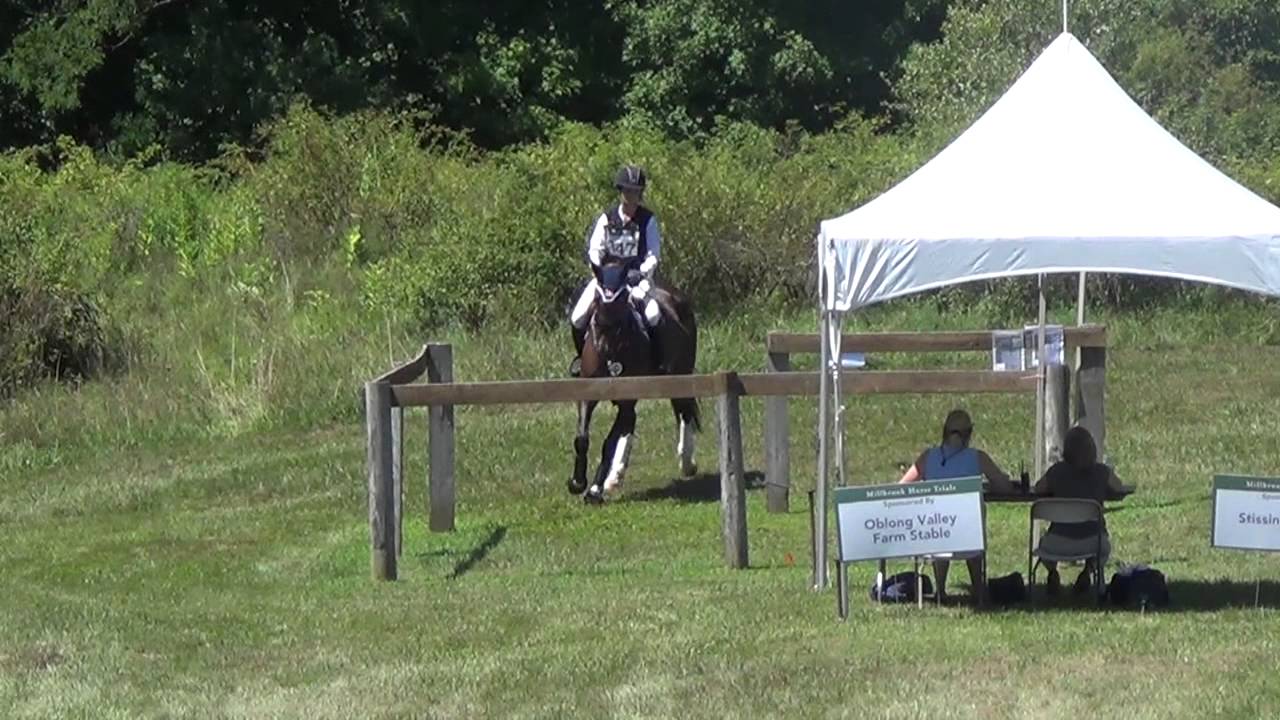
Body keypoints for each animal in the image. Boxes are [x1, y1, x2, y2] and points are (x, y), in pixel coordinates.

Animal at [568, 260, 700, 503]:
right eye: (598, 297)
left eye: (621, 298)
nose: (605, 347)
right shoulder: (588, 395)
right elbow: (582, 438)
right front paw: (577, 483)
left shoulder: (627, 398)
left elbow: (609, 443)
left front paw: (593, 491)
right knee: (630, 422)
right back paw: (615, 477)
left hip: (679, 375)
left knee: (683, 410)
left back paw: (687, 464)